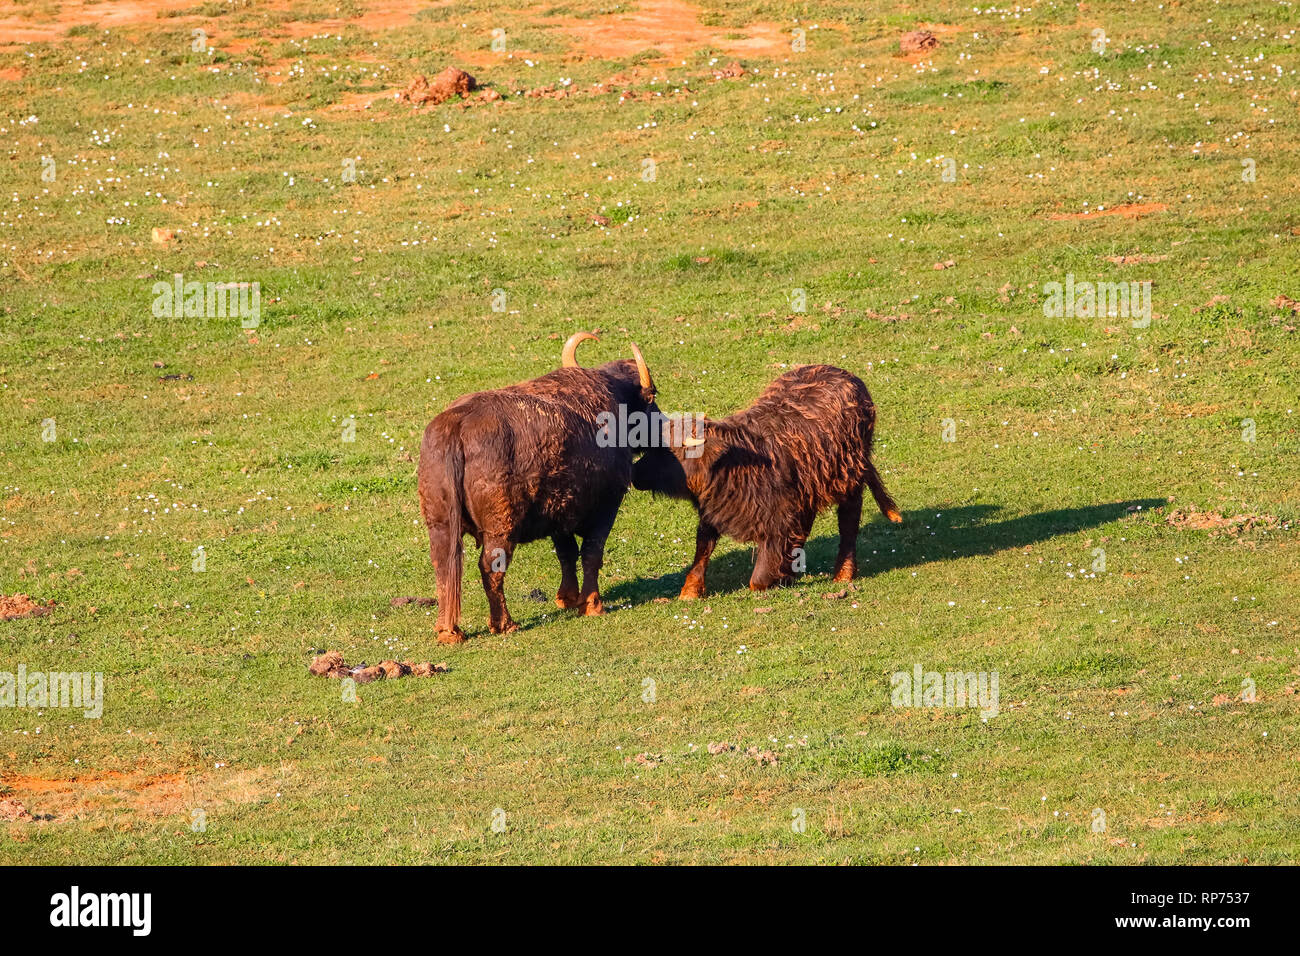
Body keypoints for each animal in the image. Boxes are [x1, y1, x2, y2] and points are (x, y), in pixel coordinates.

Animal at [418, 332, 657, 643]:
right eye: (654, 397)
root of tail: (457, 425)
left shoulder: (559, 517)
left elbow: (567, 554)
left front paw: (567, 598)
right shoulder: (606, 509)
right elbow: (591, 553)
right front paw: (592, 604)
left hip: (441, 526)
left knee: (444, 567)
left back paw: (449, 631)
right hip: (500, 531)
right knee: (490, 568)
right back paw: (505, 624)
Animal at [632, 364, 901, 597]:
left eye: (668, 452)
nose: (635, 472)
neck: (735, 464)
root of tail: (849, 377)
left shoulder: (778, 521)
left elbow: (757, 580)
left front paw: (774, 580)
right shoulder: (712, 512)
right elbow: (702, 549)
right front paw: (689, 592)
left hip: (851, 480)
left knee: (848, 524)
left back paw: (843, 575)